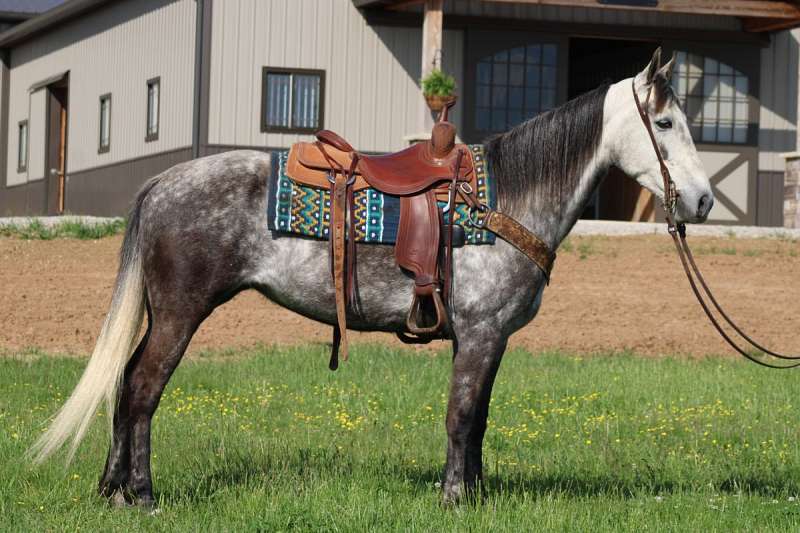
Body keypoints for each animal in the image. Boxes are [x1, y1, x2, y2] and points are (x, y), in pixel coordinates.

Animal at [31, 49, 713, 507]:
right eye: (666, 124)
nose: (703, 201)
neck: (504, 202)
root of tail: (162, 182)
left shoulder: (489, 341)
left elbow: (479, 420)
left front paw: (474, 494)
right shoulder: (482, 333)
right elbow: (461, 415)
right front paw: (454, 499)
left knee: (124, 384)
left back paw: (112, 490)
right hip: (180, 312)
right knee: (143, 389)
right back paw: (142, 495)